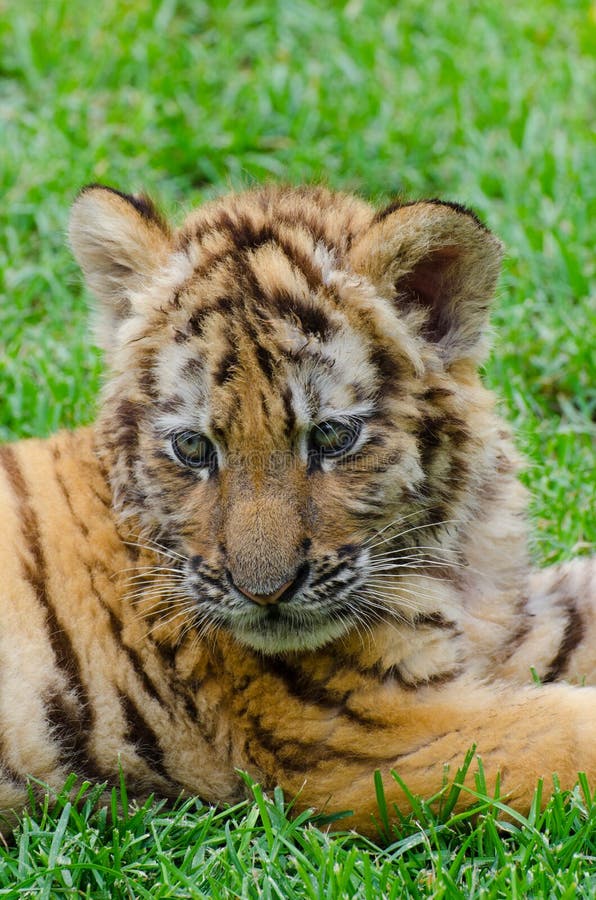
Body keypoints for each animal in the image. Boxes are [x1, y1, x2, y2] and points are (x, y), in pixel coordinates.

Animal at [0, 183, 594, 837]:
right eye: (193, 448)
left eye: (332, 438)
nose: (264, 593)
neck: (453, 551)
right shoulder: (369, 736)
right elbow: (569, 736)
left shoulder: (509, 627)